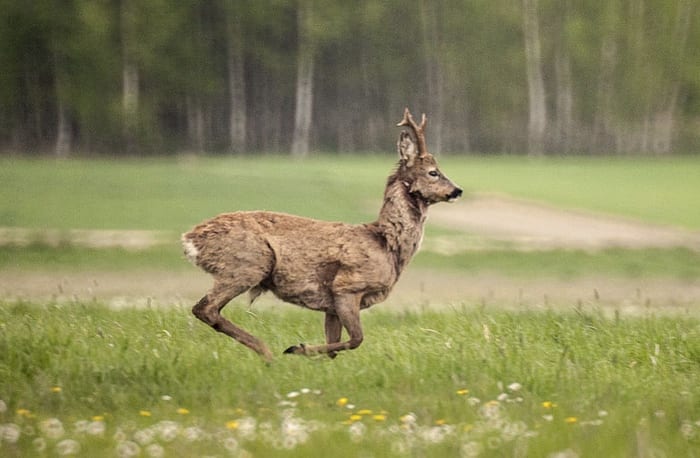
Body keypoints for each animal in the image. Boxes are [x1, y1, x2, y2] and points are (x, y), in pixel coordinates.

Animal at [182, 108, 462, 362]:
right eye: (433, 172)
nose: (457, 190)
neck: (386, 245)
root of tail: (190, 239)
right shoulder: (347, 287)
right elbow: (357, 339)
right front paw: (296, 348)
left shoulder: (331, 306)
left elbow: (335, 347)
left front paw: (311, 357)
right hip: (247, 264)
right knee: (205, 308)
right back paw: (268, 352)